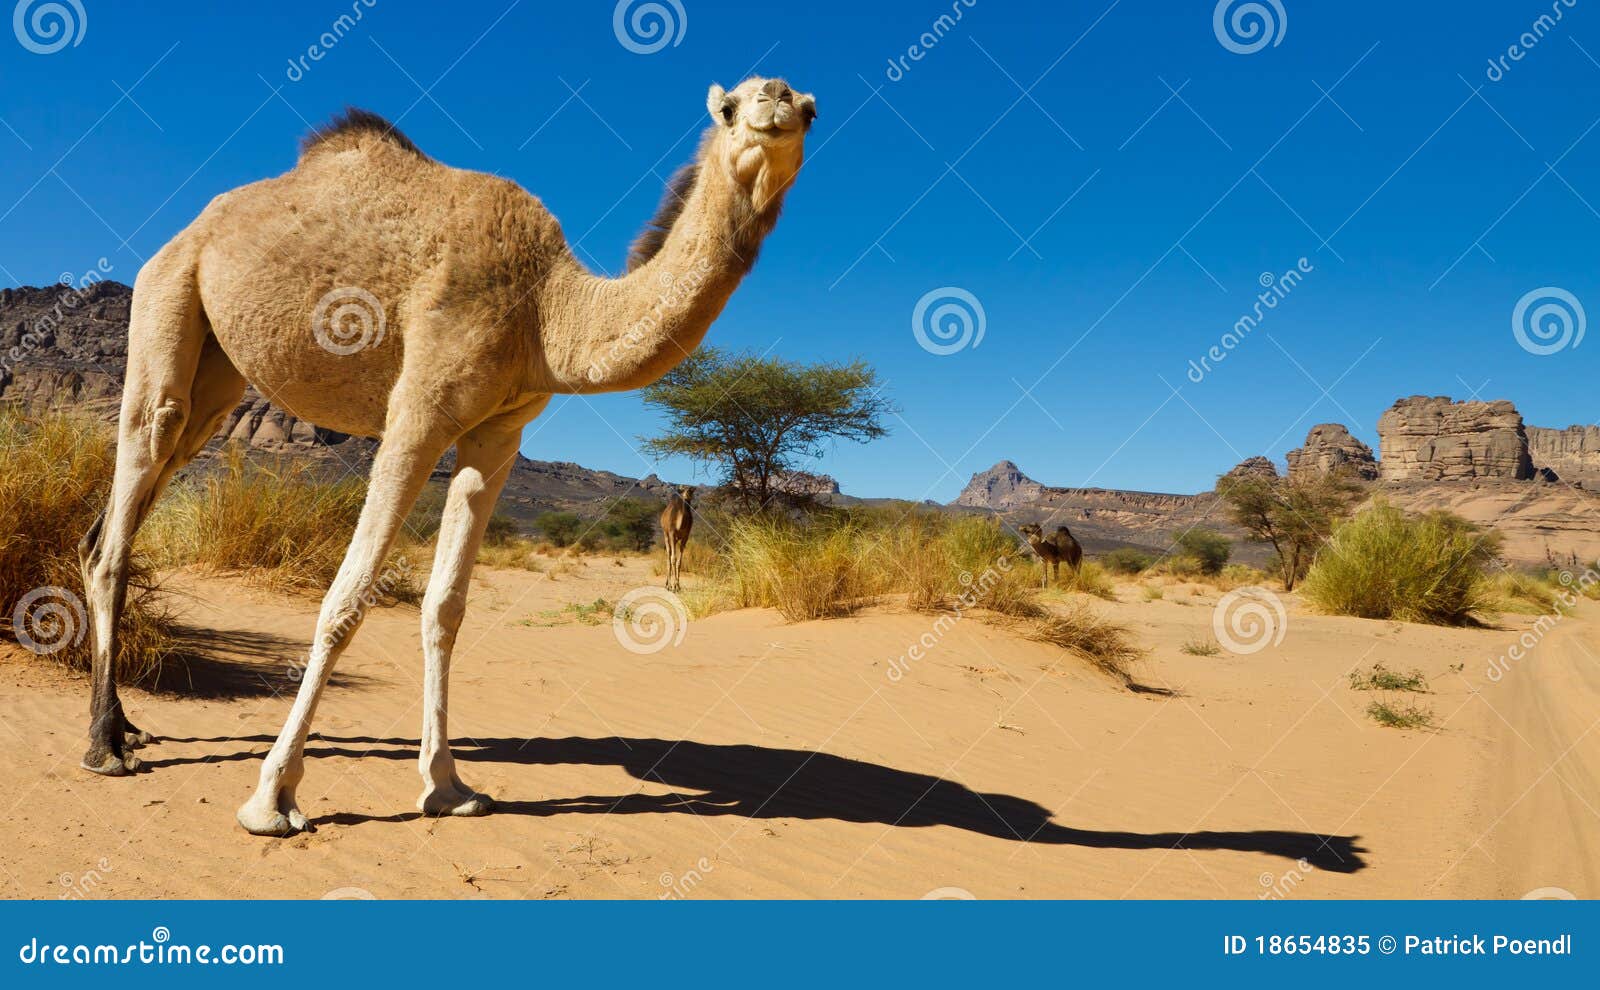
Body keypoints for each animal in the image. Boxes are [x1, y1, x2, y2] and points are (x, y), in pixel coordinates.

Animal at [74, 76, 817, 837]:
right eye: (732, 108)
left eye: (809, 110)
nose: (779, 102)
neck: (547, 311)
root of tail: (185, 233)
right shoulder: (419, 412)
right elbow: (347, 598)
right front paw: (272, 798)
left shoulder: (498, 433)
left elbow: (446, 608)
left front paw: (448, 786)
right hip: (169, 297)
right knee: (134, 481)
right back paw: (104, 745)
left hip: (219, 382)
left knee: (117, 515)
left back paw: (127, 726)